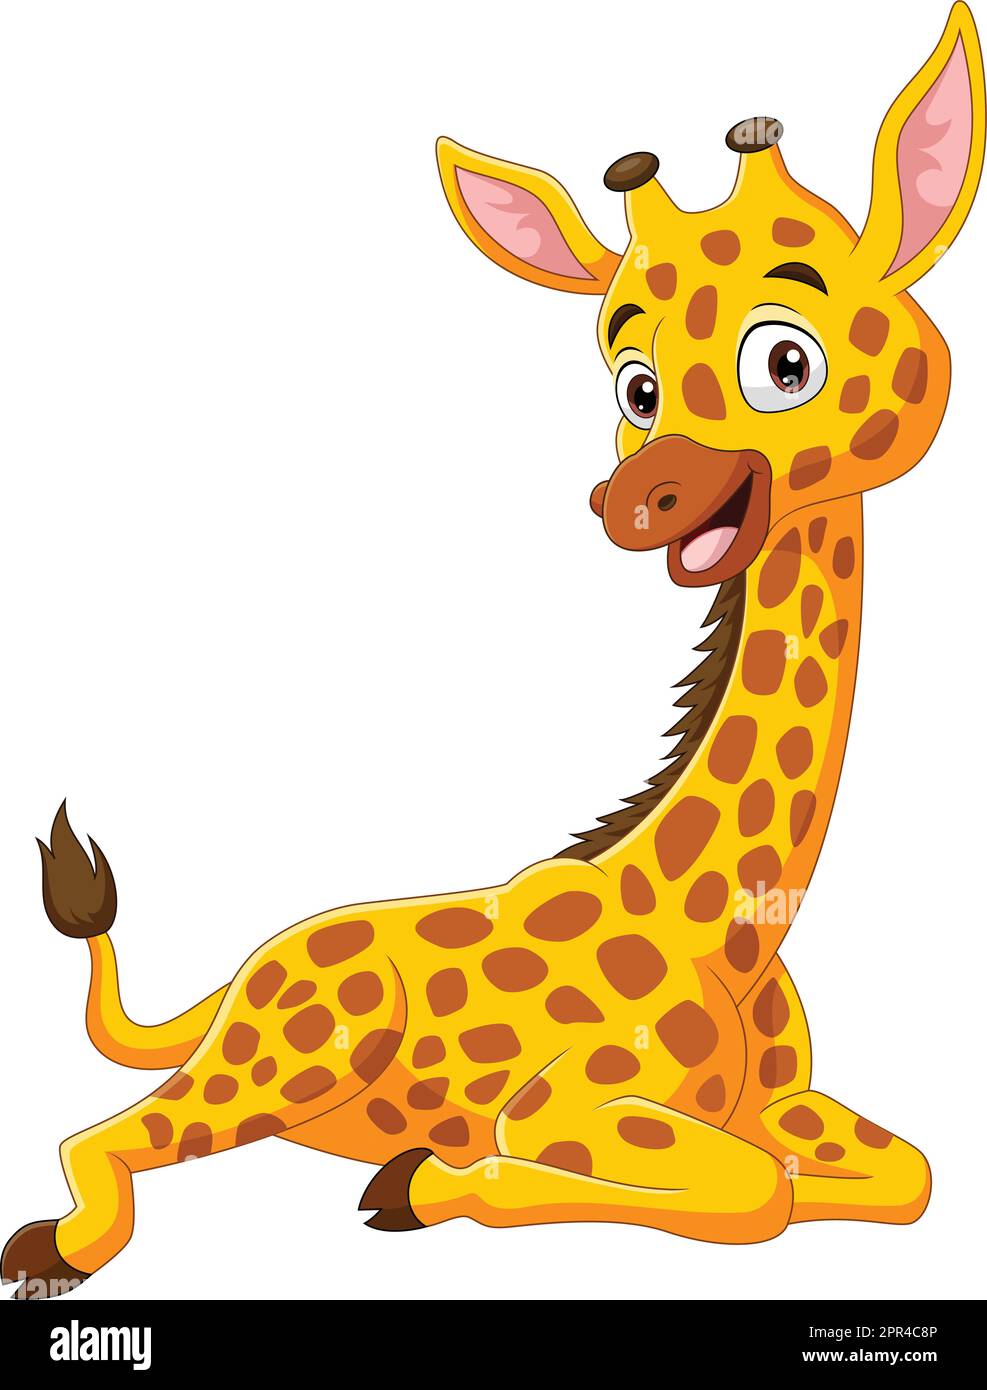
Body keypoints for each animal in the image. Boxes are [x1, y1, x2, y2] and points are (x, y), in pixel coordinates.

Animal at [3, 4, 983, 1299]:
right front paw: (423, 1181)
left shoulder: (791, 1104)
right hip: (293, 1056)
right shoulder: (568, 1105)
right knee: (99, 1132)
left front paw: (416, 1176)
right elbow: (750, 1196)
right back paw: (60, 1246)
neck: (733, 932)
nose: (639, 501)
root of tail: (248, 969)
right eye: (634, 384)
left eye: (788, 361)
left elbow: (900, 1174)